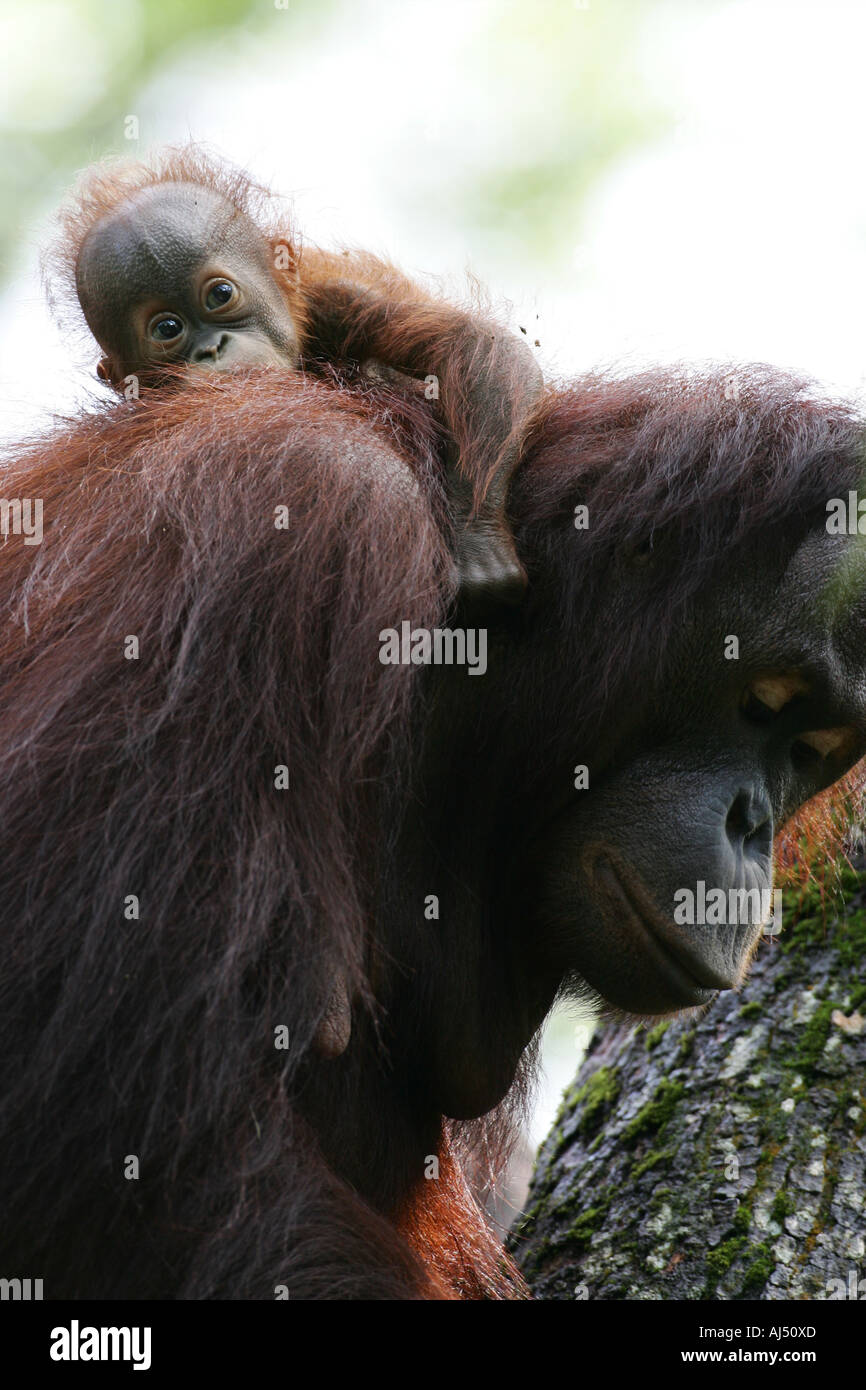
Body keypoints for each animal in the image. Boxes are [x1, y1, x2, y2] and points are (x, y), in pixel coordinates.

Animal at [67, 152, 543, 607]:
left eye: (221, 294)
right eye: (167, 328)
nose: (212, 349)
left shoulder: (341, 298)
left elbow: (476, 339)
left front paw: (479, 544)